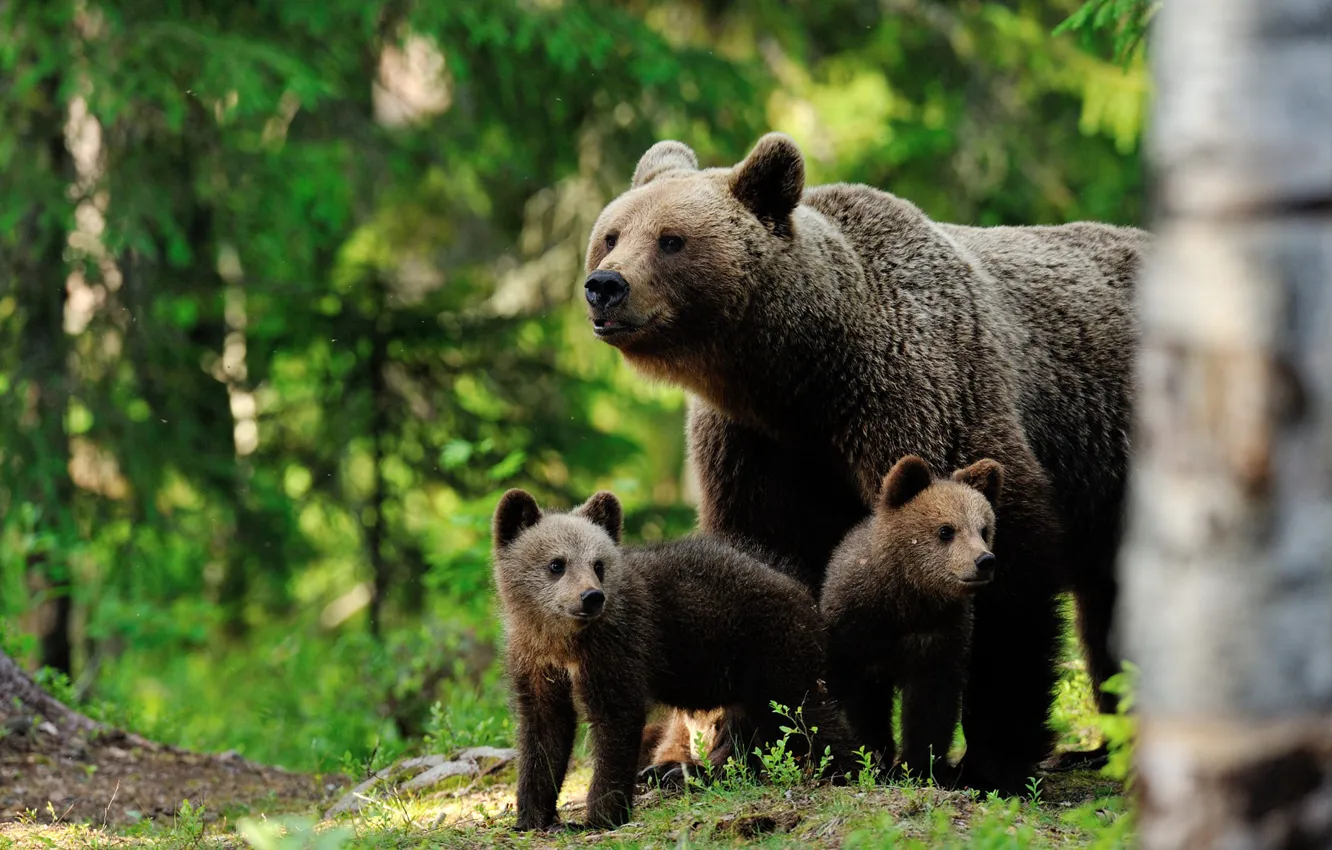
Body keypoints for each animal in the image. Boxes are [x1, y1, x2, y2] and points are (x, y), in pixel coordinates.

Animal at [490, 488, 853, 831]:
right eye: (557, 563)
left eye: (598, 564)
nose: (591, 597)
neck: (564, 641)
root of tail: (803, 592)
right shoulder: (535, 663)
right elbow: (544, 732)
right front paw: (530, 818)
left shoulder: (620, 648)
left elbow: (615, 723)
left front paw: (598, 817)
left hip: (774, 650)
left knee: (807, 710)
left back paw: (850, 769)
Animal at [820, 454, 1004, 788]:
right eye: (946, 530)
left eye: (984, 529)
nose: (984, 561)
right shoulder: (855, 630)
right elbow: (857, 700)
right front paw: (872, 757)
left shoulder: (939, 636)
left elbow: (930, 707)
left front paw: (917, 766)